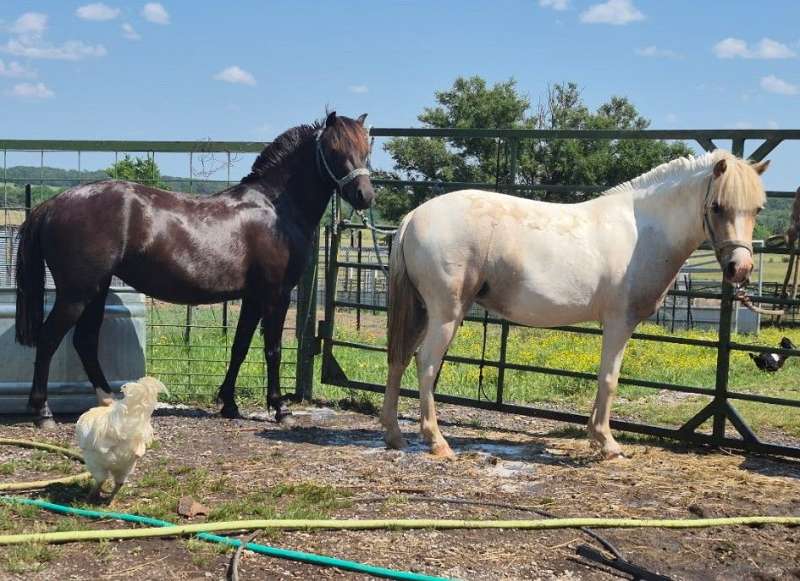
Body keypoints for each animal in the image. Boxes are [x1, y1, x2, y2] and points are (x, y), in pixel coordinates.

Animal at [15, 111, 374, 429]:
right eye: (334, 149)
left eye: (366, 150)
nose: (365, 196)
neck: (274, 209)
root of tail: (53, 204)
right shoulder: (276, 294)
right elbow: (272, 350)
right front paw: (280, 408)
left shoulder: (253, 297)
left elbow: (240, 347)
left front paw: (229, 403)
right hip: (77, 293)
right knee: (49, 339)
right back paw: (43, 413)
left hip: (97, 290)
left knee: (85, 341)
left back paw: (109, 402)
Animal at [381, 150, 769, 459]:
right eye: (717, 207)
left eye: (757, 209)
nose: (740, 268)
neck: (642, 231)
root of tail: (413, 217)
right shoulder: (619, 322)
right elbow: (610, 378)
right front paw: (608, 444)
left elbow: (602, 377)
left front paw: (595, 436)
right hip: (445, 314)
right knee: (426, 363)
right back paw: (436, 441)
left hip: (422, 311)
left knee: (400, 358)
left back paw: (394, 435)